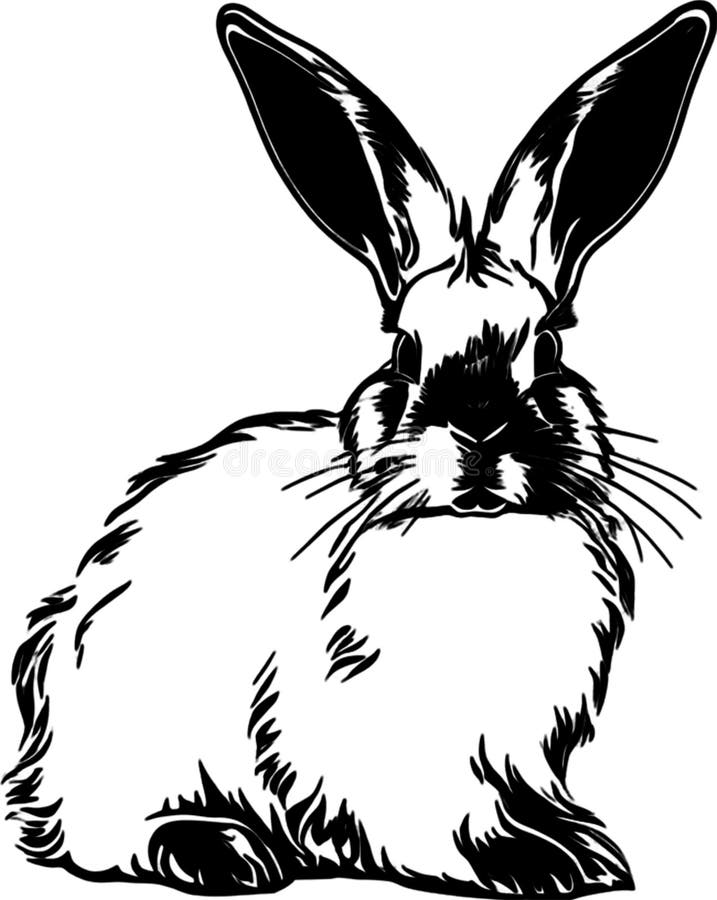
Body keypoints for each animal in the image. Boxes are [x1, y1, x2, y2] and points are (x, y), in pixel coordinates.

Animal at [4, 2, 714, 897]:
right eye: (403, 352)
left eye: (549, 347)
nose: (478, 430)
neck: (476, 538)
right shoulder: (379, 737)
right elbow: (437, 819)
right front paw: (528, 860)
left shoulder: (511, 745)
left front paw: (579, 844)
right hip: (128, 719)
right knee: (101, 830)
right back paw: (216, 846)